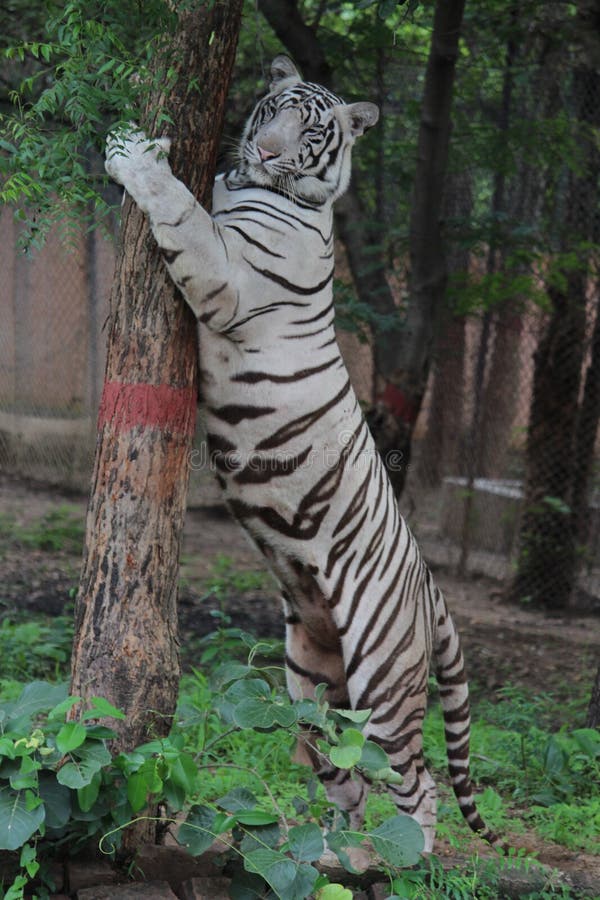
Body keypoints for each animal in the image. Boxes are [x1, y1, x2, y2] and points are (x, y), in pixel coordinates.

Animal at [105, 54, 496, 853]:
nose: (267, 151)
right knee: (340, 773)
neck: (247, 182)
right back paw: (329, 853)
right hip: (309, 680)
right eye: (273, 111)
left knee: (417, 783)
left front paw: (134, 154)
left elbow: (179, 207)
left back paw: (404, 862)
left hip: (382, 676)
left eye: (312, 132)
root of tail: (431, 585)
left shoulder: (223, 270)